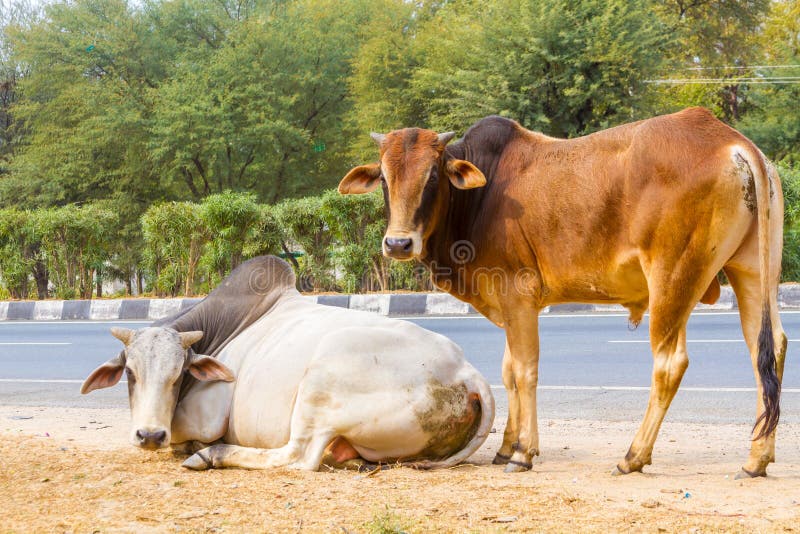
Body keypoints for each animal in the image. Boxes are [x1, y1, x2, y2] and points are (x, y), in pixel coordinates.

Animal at [81, 256, 494, 471]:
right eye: (130, 373)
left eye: (178, 374)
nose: (150, 434)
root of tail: (467, 372)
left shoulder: (203, 417)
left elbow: (188, 435)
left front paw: (193, 446)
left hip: (322, 379)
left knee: (298, 456)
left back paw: (210, 455)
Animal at [339, 107, 786, 478]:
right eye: (384, 178)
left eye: (432, 175)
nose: (398, 243)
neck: (481, 195)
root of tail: (730, 141)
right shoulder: (509, 306)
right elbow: (508, 371)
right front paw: (506, 447)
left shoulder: (518, 294)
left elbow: (525, 371)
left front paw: (523, 453)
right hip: (751, 271)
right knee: (768, 348)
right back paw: (756, 459)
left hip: (672, 280)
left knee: (669, 363)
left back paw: (633, 456)